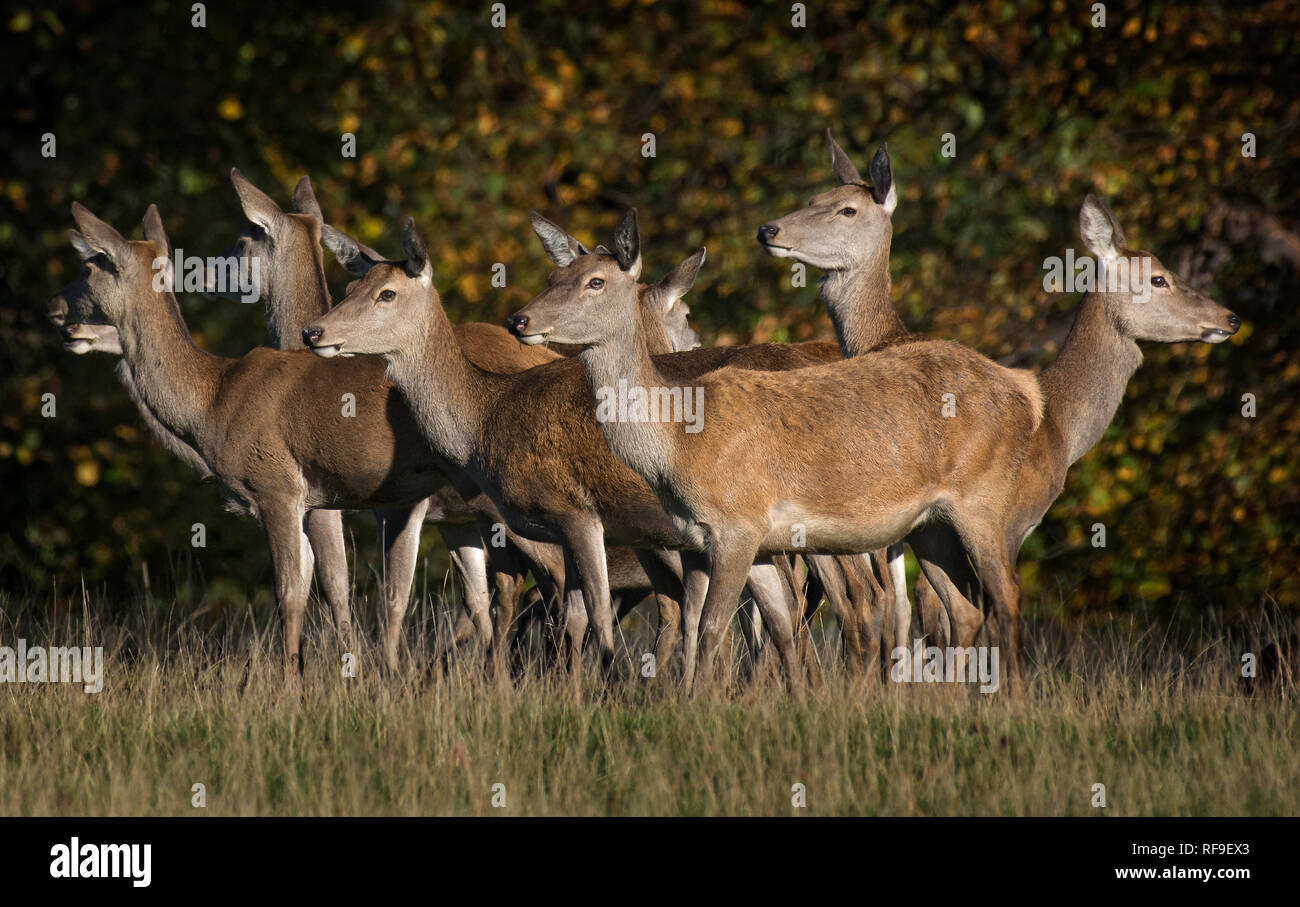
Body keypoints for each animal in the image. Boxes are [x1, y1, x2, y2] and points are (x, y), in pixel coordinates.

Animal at [303, 217, 848, 688]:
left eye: (387, 293)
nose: (313, 332)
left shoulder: (571, 514)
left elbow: (576, 616)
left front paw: (590, 692)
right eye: (349, 289)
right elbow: (554, 616)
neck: (485, 420)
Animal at [506, 209, 1047, 695]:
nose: (519, 318)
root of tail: (1026, 392)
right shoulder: (757, 542)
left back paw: (1012, 705)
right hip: (929, 525)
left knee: (1006, 594)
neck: (679, 442)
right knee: (965, 606)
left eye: (595, 281)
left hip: (984, 500)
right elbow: (770, 624)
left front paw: (699, 709)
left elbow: (711, 629)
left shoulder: (736, 525)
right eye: (553, 276)